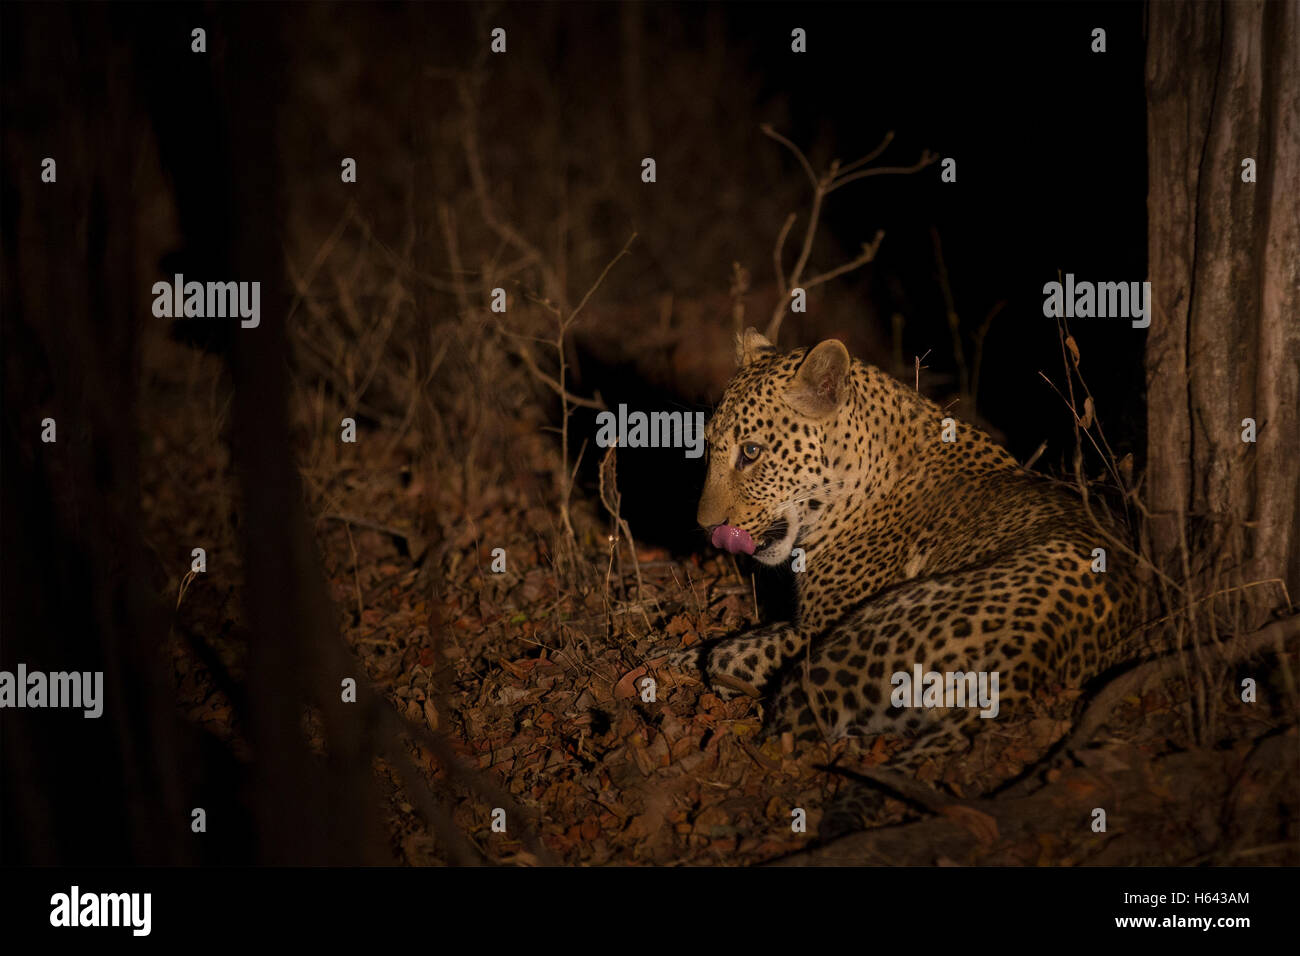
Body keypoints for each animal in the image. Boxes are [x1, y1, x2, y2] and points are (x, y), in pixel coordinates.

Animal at [665, 327, 1139, 783]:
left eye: (751, 451)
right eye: (709, 447)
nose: (706, 526)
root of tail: (1028, 658)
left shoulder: (814, 627)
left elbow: (730, 652)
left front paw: (684, 661)